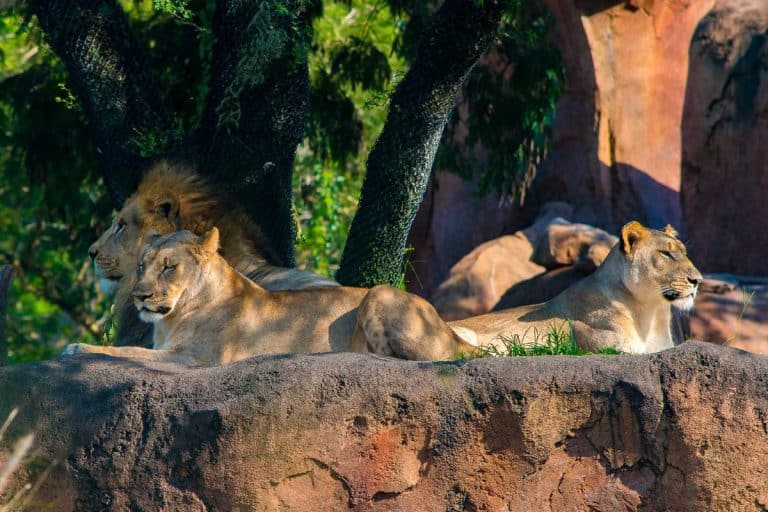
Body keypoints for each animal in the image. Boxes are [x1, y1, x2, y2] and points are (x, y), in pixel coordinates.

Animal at [67, 228, 370, 364]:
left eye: (168, 267)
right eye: (142, 265)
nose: (140, 296)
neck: (171, 320)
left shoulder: (193, 358)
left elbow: (128, 352)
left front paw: (78, 348)